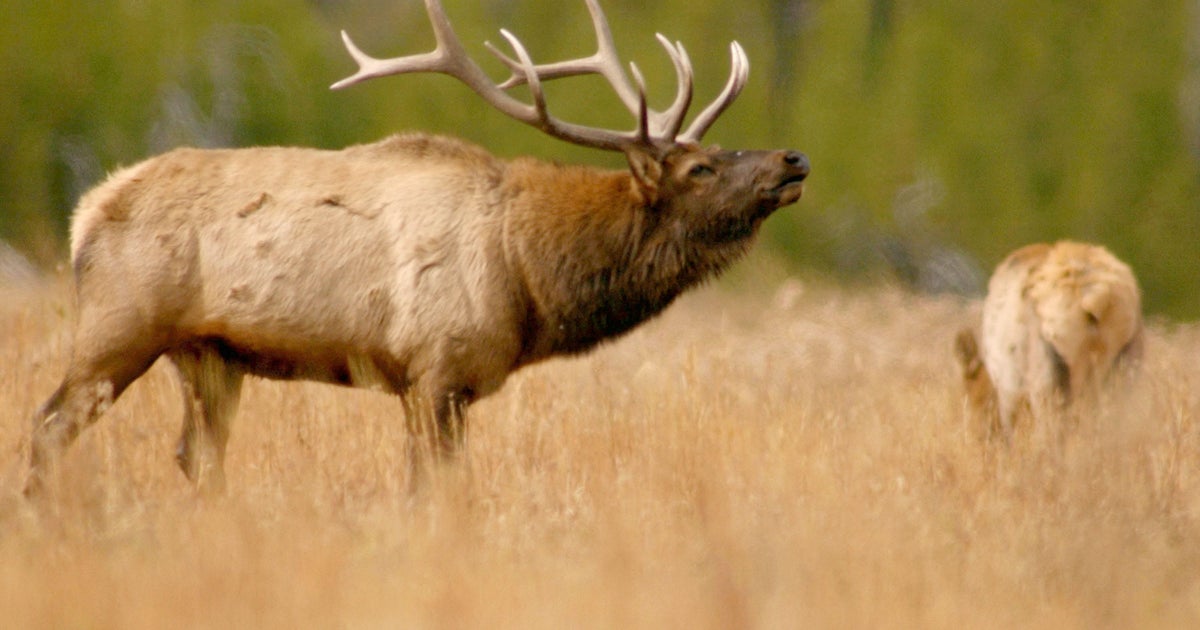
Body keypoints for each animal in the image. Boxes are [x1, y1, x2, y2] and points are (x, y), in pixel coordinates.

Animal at [24, 0, 810, 496]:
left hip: (208, 355)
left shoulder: (446, 386)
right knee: (49, 426)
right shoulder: (433, 370)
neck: (527, 276)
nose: (793, 159)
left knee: (196, 456)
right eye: (700, 168)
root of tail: (85, 213)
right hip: (121, 326)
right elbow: (435, 492)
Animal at [953, 241, 1143, 441]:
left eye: (968, 399)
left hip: (1047, 379)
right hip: (1125, 368)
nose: (973, 435)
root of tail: (1094, 299)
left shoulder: (1008, 393)